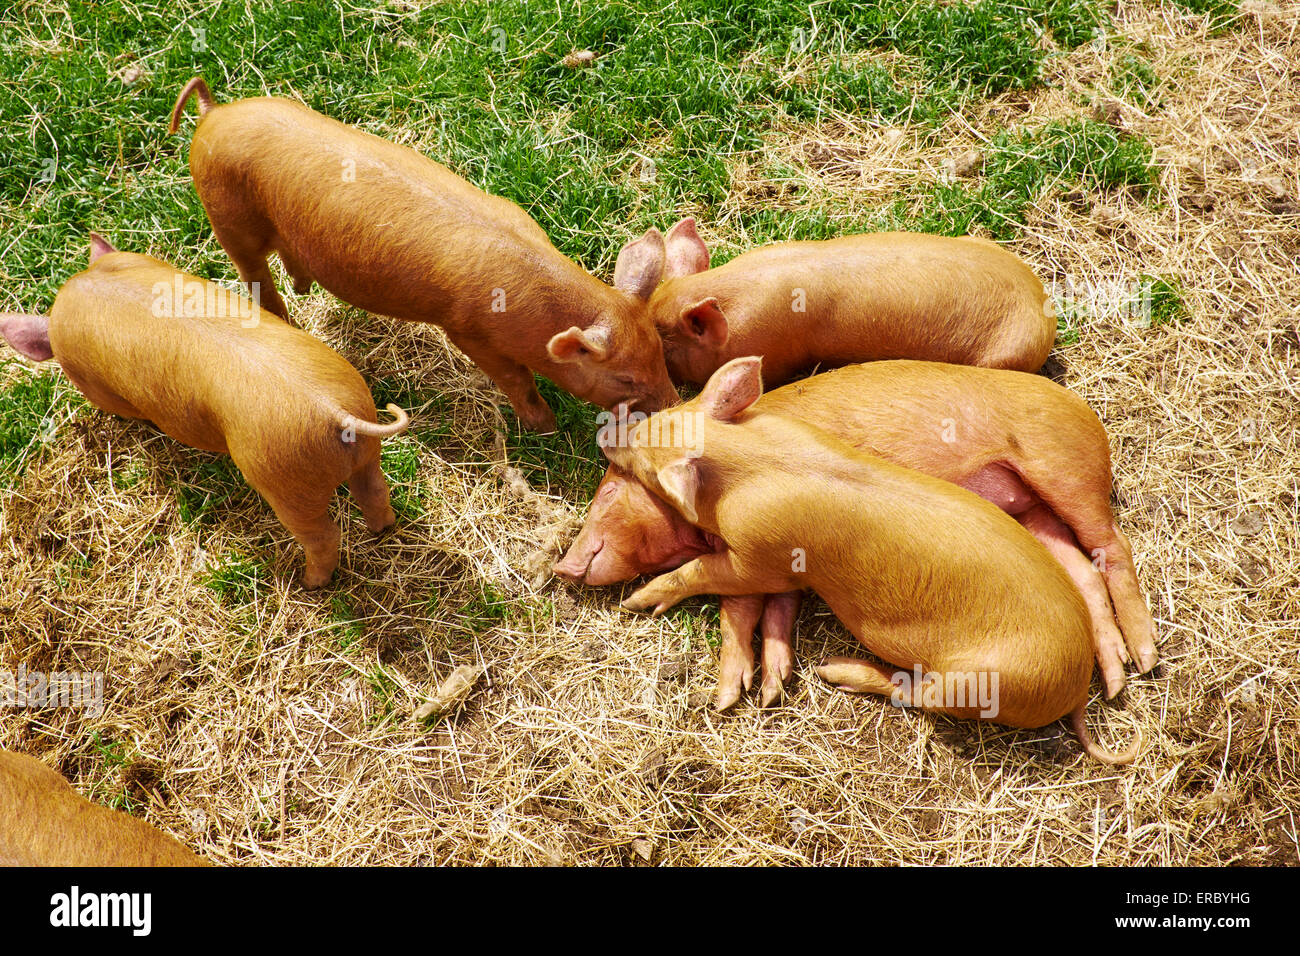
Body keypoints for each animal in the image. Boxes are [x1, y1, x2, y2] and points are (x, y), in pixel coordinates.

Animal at [0, 234, 409, 589]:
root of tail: (331, 409)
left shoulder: (97, 386)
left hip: (283, 479)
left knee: (322, 535)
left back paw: (307, 583)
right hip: (362, 435)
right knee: (375, 490)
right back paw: (382, 530)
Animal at [168, 77, 679, 433]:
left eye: (660, 351)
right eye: (625, 379)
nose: (675, 404)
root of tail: (213, 114)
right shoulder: (466, 329)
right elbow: (515, 378)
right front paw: (545, 427)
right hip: (225, 214)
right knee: (254, 274)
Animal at [604, 357, 1141, 764]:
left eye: (649, 465)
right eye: (668, 412)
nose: (610, 433)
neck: (750, 461)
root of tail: (1076, 684)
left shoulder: (759, 554)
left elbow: (704, 574)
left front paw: (636, 603)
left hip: (982, 680)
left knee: (916, 693)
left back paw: (833, 671)